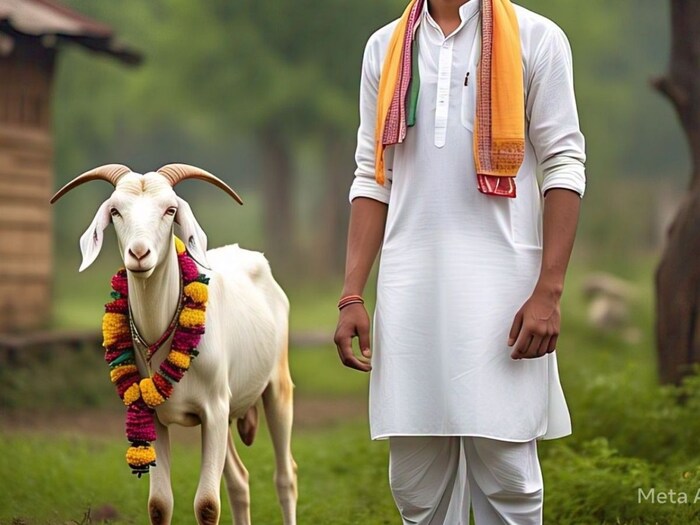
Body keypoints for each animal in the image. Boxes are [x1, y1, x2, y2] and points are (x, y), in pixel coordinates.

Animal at [51, 164, 297, 525]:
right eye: (115, 211)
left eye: (169, 210)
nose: (139, 254)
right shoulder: (154, 413)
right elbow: (159, 504)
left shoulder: (214, 410)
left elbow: (207, 504)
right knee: (239, 481)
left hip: (276, 386)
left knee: (285, 476)